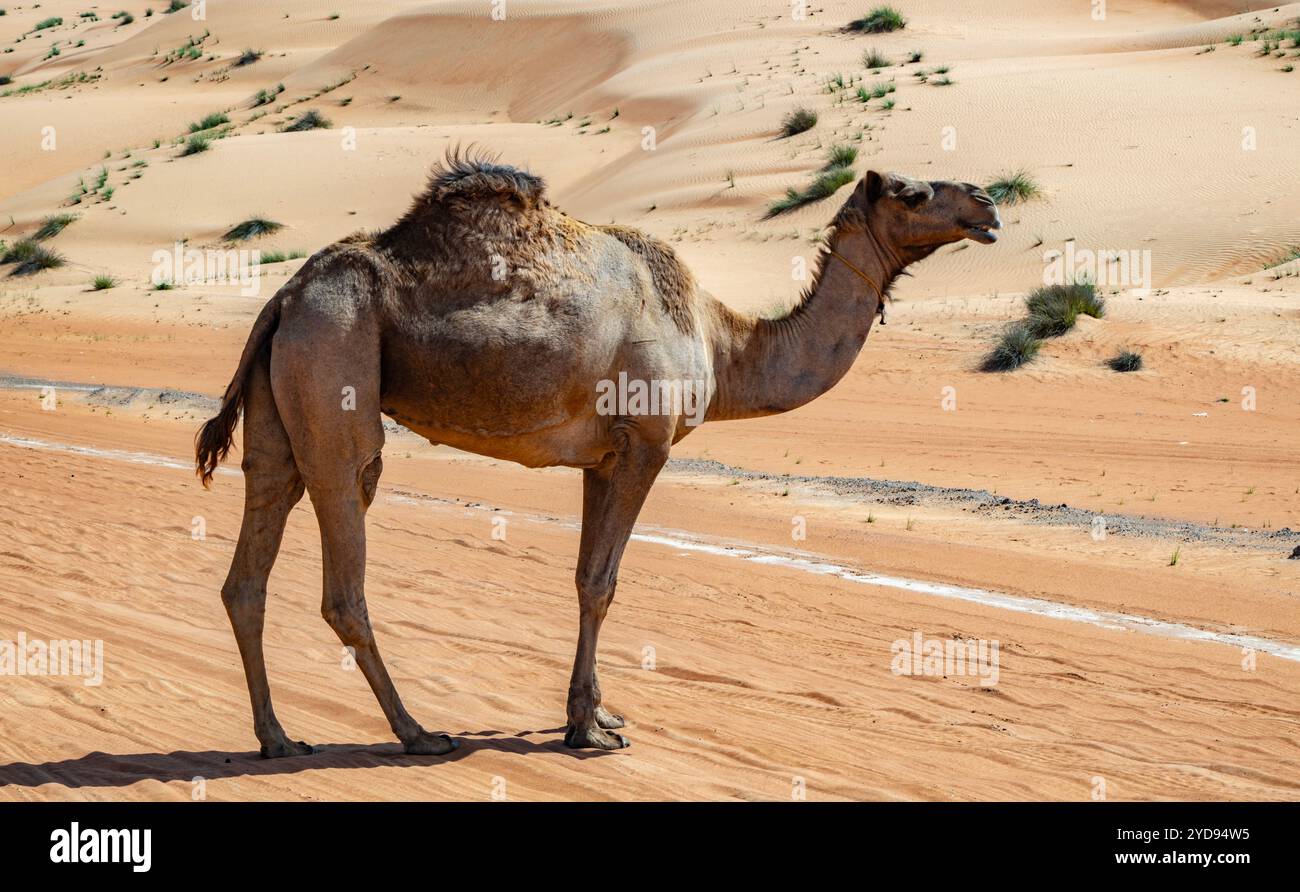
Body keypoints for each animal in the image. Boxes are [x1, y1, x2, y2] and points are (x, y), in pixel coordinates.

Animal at [196, 149, 1001, 756]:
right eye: (914, 192)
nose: (989, 203)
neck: (722, 341)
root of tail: (284, 297)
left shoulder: (601, 459)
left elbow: (585, 578)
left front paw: (597, 714)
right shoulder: (646, 444)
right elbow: (603, 584)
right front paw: (590, 730)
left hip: (284, 396)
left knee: (250, 562)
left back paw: (277, 737)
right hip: (335, 357)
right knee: (344, 549)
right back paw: (417, 733)